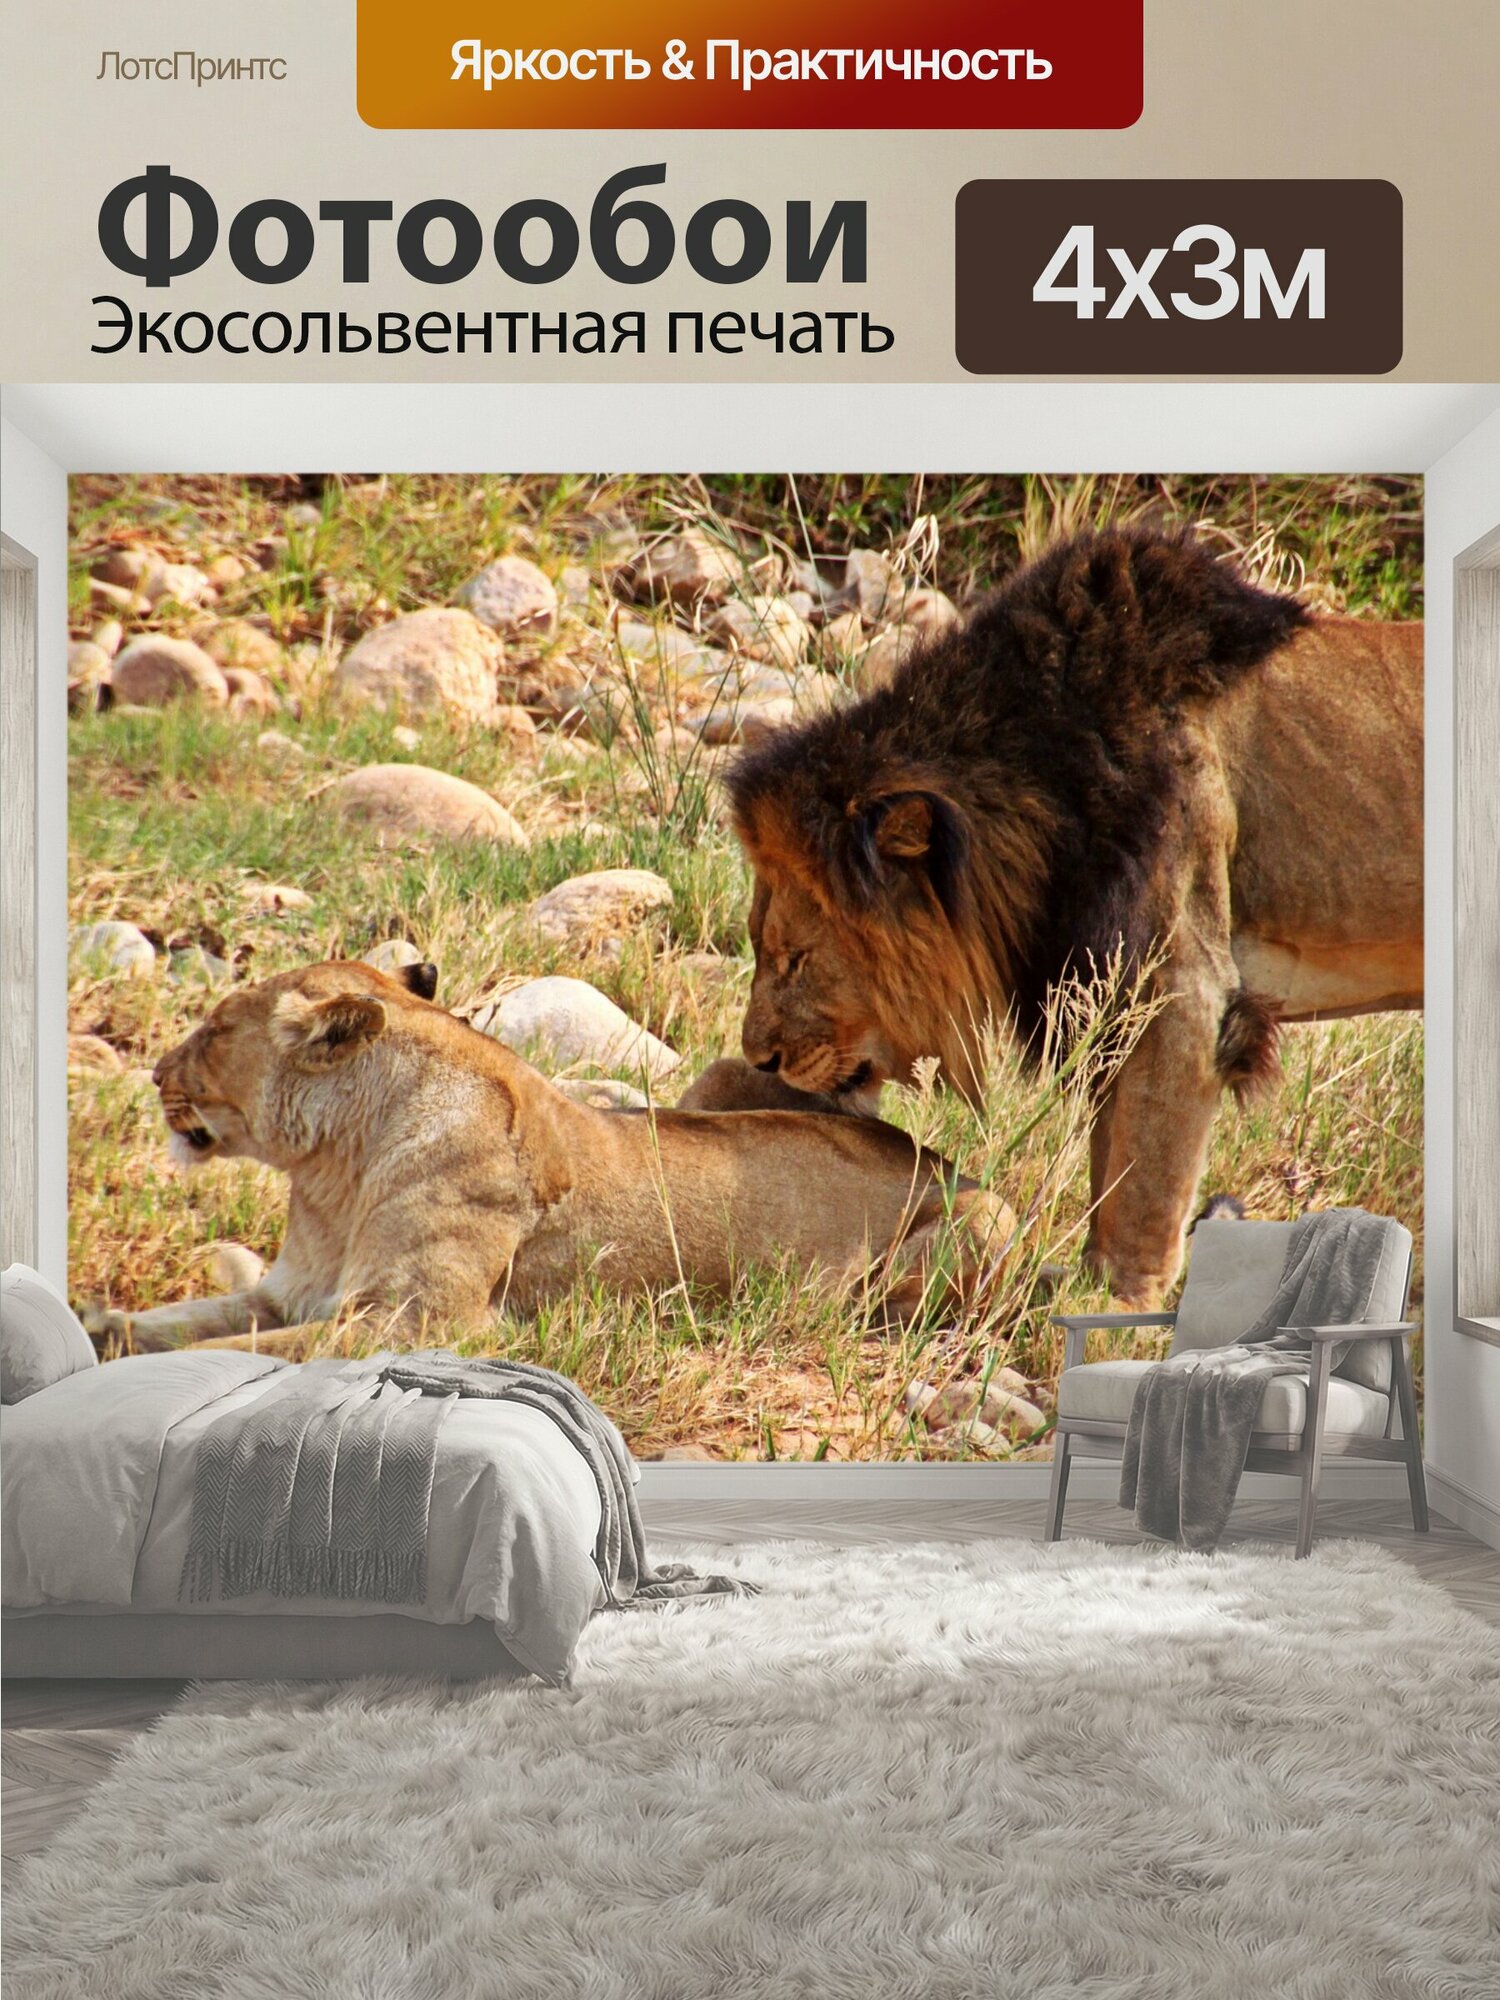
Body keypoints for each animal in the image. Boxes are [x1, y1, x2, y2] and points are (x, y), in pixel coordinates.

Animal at [100, 960, 1014, 1351]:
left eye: (215, 1030)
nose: (153, 1073)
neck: (332, 1176)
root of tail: (934, 1154)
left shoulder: (410, 1326)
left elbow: (218, 1358)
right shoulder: (291, 1295)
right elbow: (182, 1325)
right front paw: (100, 1325)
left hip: (989, 1217)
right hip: (731, 1071)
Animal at [725, 527, 1422, 1306]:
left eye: (796, 958)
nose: (759, 1059)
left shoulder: (1180, 994)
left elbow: (1143, 1179)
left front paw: (1118, 1303)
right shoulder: (1105, 989)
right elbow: (1108, 1157)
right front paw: (1080, 1281)